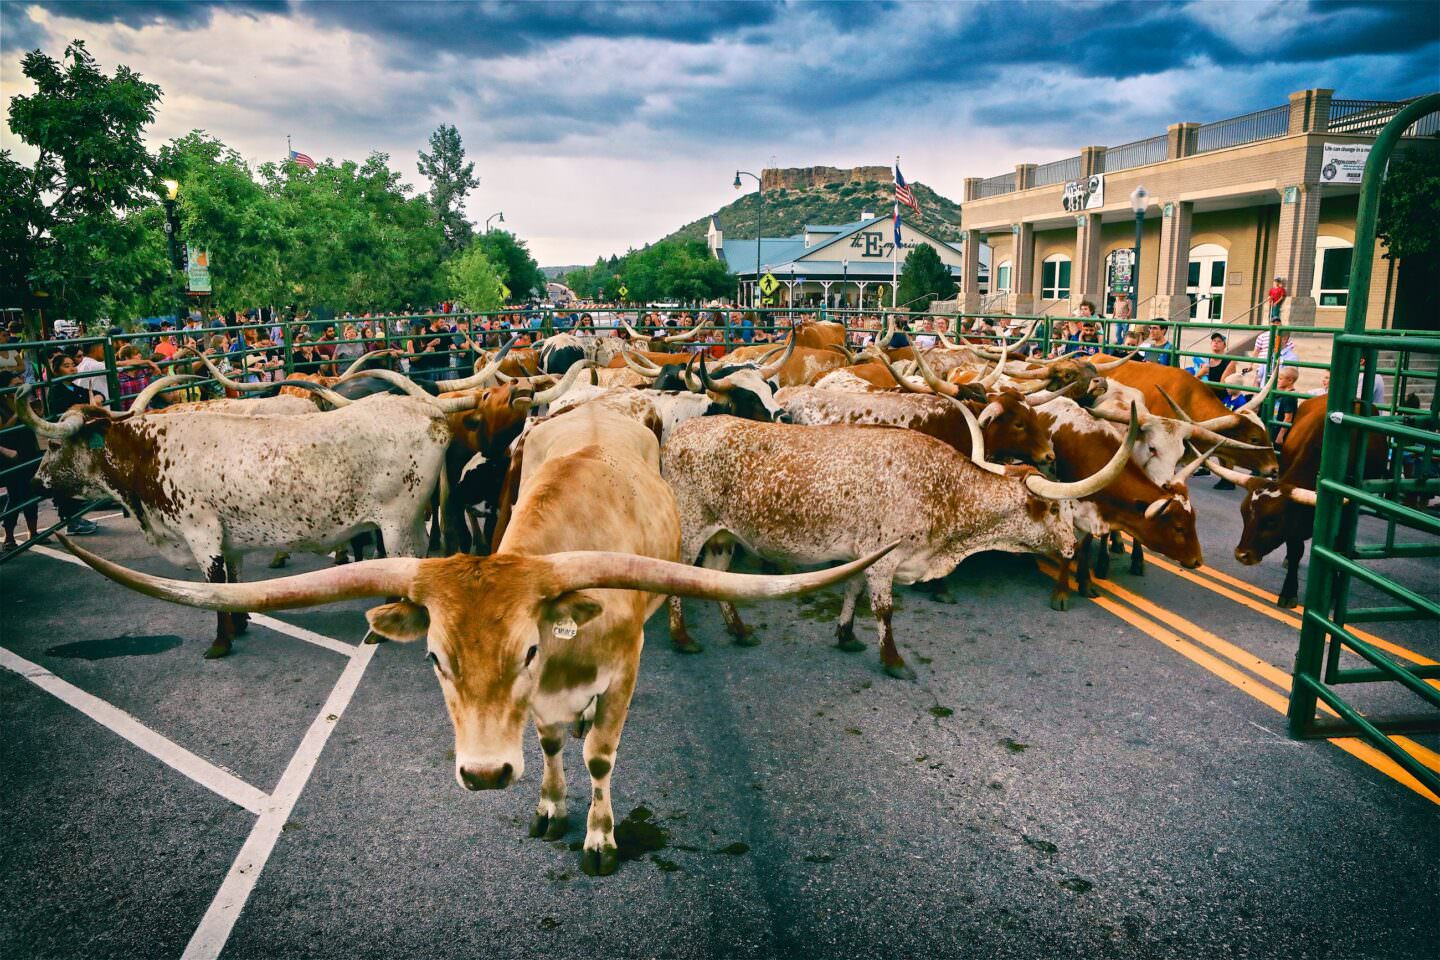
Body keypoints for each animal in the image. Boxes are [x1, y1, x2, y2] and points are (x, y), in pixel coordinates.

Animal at [19, 386, 476, 658]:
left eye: (54, 445)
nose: (34, 481)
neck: (150, 453)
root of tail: (425, 407)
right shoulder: (226, 537)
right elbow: (233, 583)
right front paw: (239, 624)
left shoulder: (201, 533)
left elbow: (213, 585)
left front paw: (220, 642)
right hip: (410, 519)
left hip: (397, 520)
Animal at [59, 403, 890, 876]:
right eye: (434, 657)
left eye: (527, 649)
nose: (485, 774)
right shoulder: (541, 707)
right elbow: (551, 746)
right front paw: (549, 807)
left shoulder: (622, 674)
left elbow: (599, 757)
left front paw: (598, 838)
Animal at [661, 407, 1137, 677]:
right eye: (1056, 510)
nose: (1072, 546)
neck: (946, 491)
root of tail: (680, 433)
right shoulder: (884, 559)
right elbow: (884, 610)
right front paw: (893, 662)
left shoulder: (862, 555)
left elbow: (852, 593)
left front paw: (846, 636)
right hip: (691, 526)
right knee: (679, 576)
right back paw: (682, 639)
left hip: (723, 534)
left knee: (717, 577)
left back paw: (739, 631)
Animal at [1206, 394, 1386, 608]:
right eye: (1244, 515)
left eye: (1272, 521)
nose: (1241, 555)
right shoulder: (1294, 520)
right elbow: (1295, 552)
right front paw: (1289, 591)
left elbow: (1337, 548)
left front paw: (1334, 592)